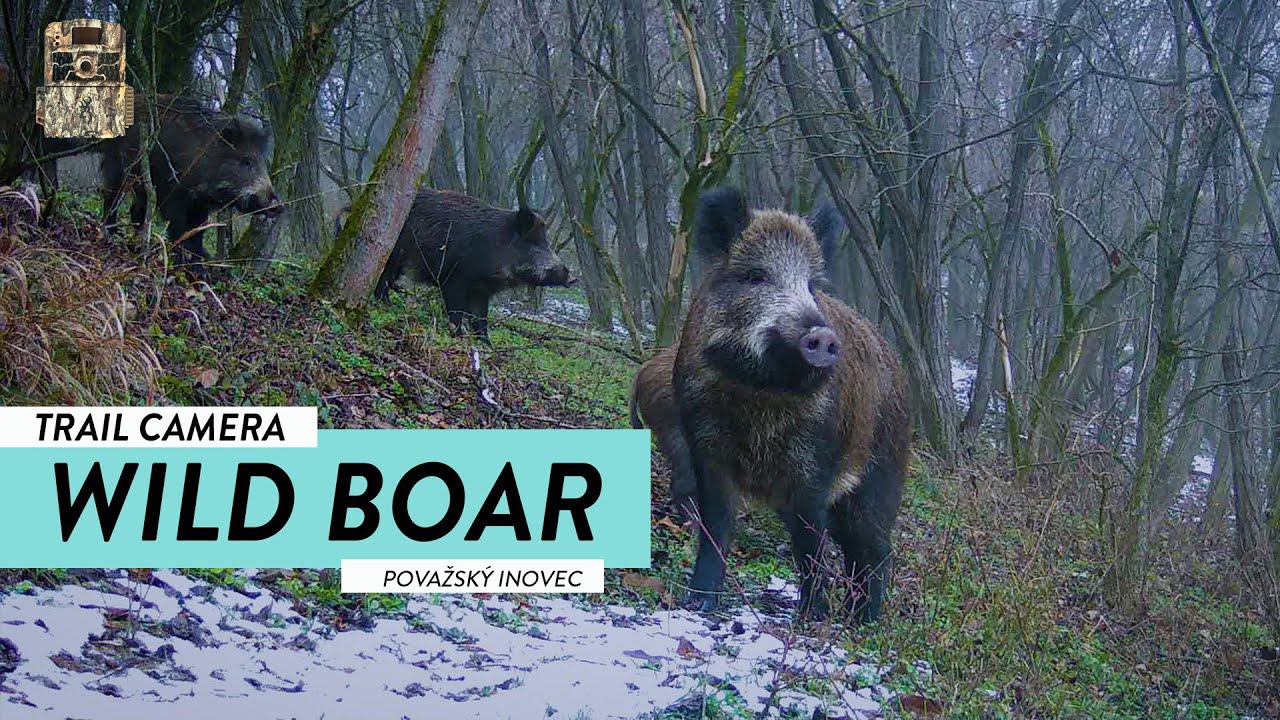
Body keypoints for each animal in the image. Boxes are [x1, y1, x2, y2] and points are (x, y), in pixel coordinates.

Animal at [98, 94, 282, 271]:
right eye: (246, 162)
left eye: (265, 163)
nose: (278, 206)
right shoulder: (172, 192)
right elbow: (178, 228)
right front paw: (184, 267)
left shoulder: (200, 203)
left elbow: (197, 233)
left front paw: (198, 269)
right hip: (117, 163)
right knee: (112, 196)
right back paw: (111, 234)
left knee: (137, 209)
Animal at [371, 189, 574, 341]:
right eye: (535, 243)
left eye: (546, 242)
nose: (573, 279)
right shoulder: (454, 278)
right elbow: (456, 311)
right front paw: (459, 336)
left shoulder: (481, 290)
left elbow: (480, 318)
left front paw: (486, 344)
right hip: (394, 255)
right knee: (382, 278)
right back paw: (383, 304)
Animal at [669, 186, 911, 625]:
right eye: (755, 276)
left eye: (812, 284)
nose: (822, 336)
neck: (759, 394)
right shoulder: (705, 444)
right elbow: (716, 525)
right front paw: (698, 602)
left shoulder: (814, 464)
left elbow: (809, 541)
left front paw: (812, 617)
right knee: (854, 547)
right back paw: (851, 615)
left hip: (882, 473)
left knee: (875, 547)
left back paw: (863, 621)